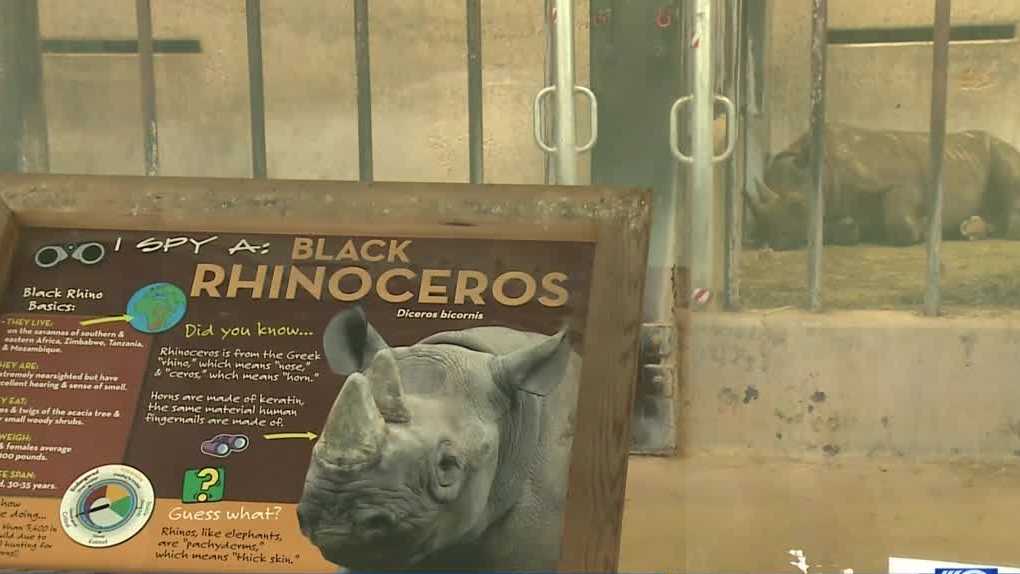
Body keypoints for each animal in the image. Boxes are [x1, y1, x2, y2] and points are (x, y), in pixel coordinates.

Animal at [749, 123, 1020, 250]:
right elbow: (840, 228)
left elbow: (899, 221)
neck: (822, 169)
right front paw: (850, 228)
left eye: (798, 205)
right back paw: (970, 229)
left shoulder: (902, 180)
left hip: (997, 148)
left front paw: (926, 227)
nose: (776, 242)